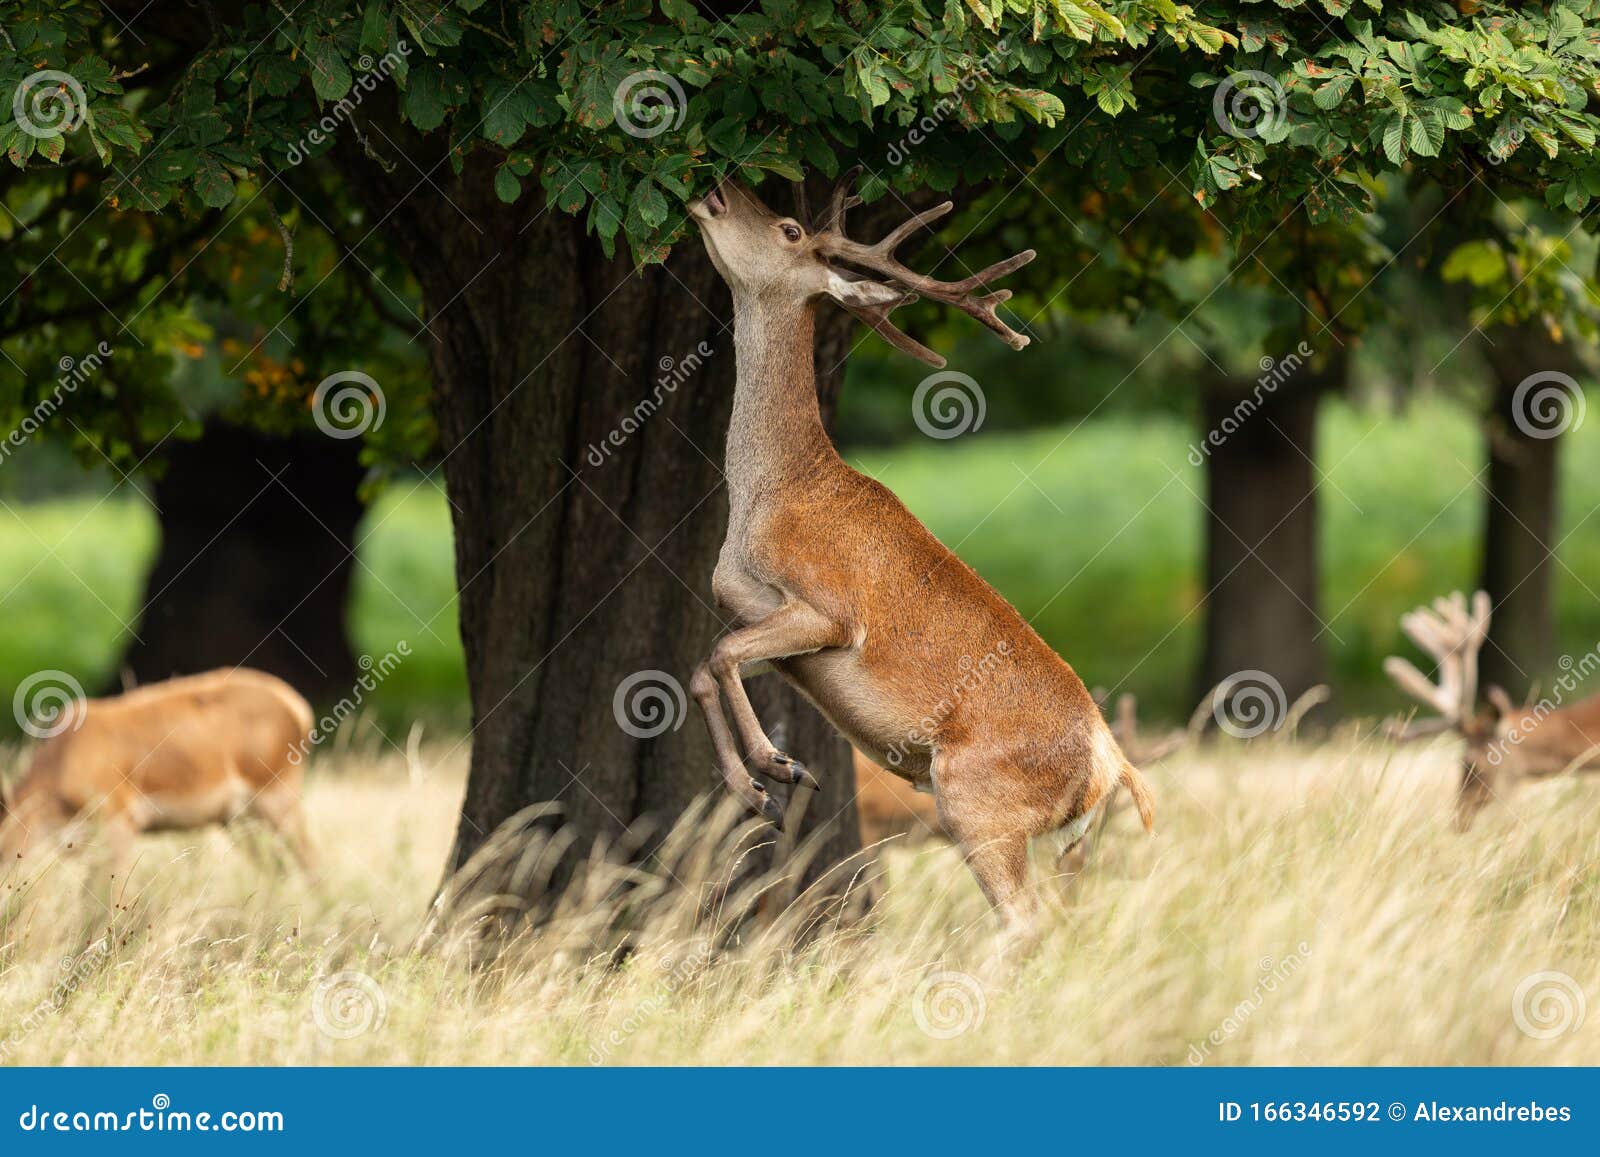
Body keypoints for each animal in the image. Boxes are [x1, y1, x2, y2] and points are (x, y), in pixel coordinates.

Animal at [1, 668, 317, 878]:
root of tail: (297, 706)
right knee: (276, 870)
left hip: (278, 801)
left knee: (311, 864)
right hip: (238, 820)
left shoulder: (120, 824)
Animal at [685, 171, 1154, 928]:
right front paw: (757, 790)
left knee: (1027, 921)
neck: (773, 495)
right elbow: (704, 666)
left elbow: (721, 654)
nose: (717, 185)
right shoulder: (762, 620)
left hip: (977, 800)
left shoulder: (829, 608)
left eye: (789, 228)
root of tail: (1113, 766)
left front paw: (779, 767)